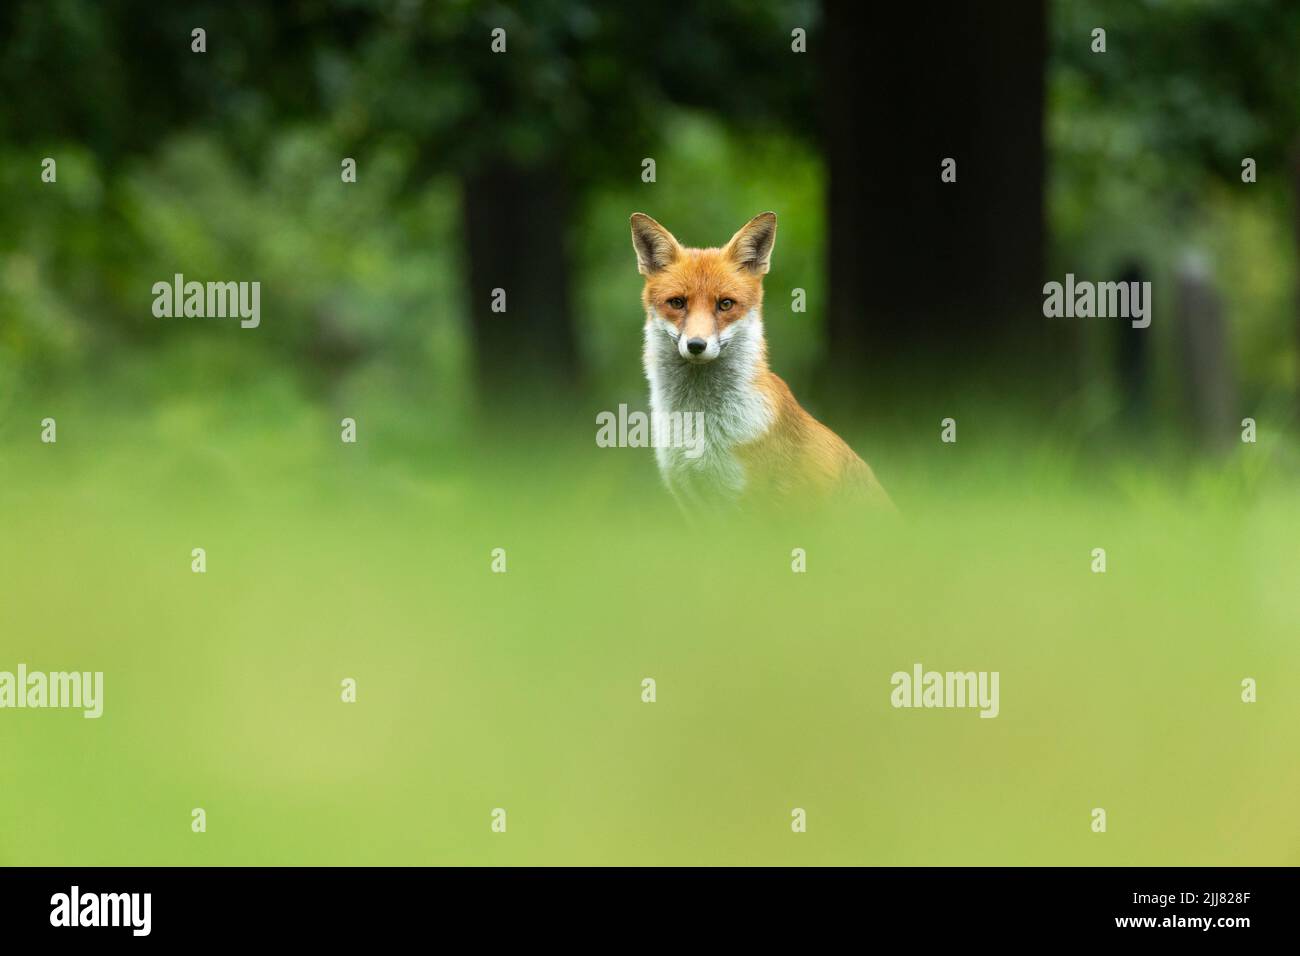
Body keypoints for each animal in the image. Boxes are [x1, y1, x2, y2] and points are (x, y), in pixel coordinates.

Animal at [631, 211, 891, 511]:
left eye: (725, 304)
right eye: (677, 303)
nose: (696, 345)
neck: (699, 423)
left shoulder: (750, 504)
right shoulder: (691, 500)